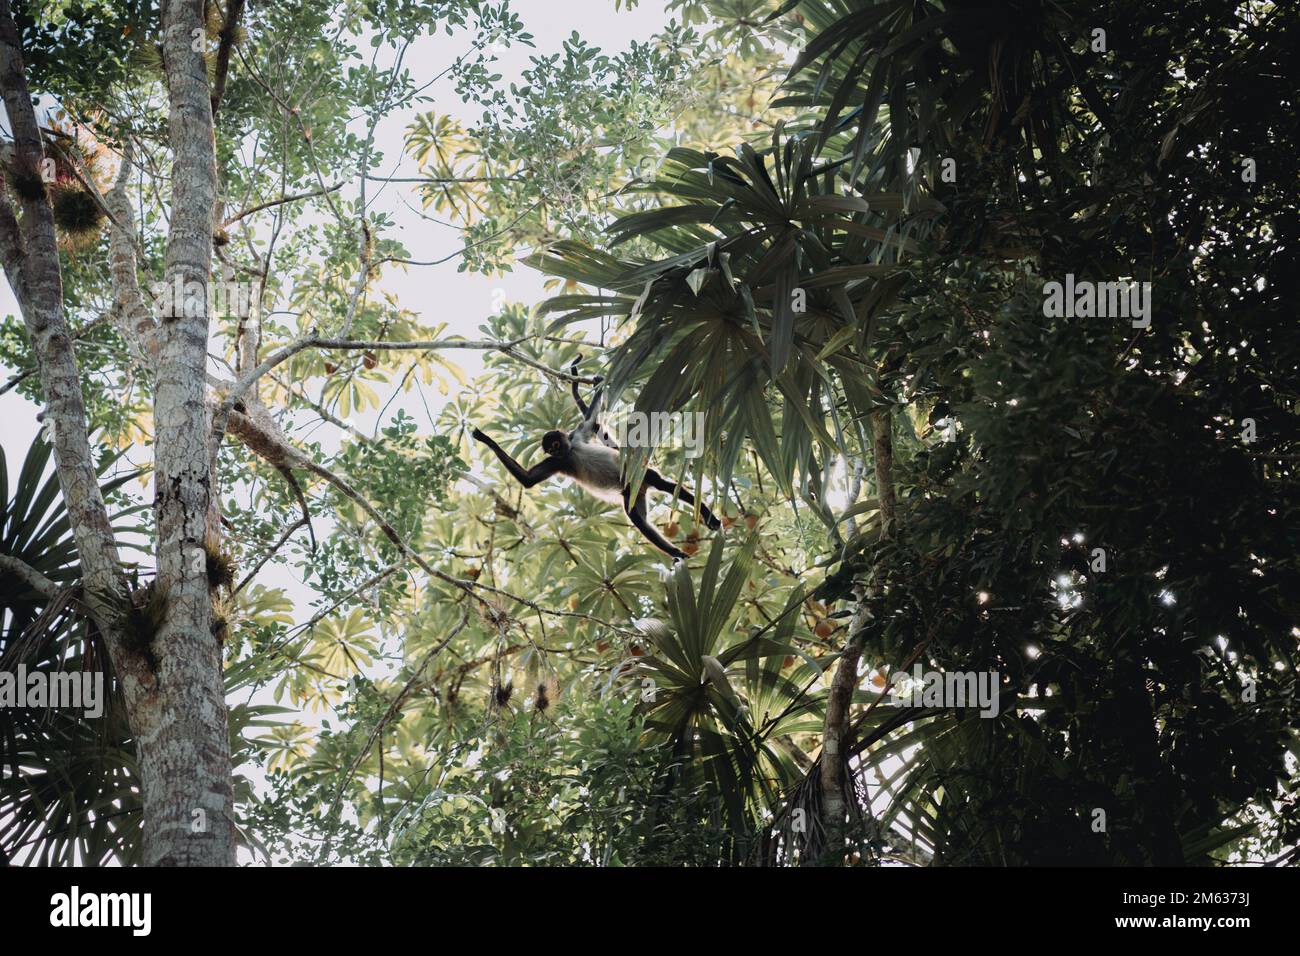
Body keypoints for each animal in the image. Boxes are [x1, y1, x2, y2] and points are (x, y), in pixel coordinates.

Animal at [471, 358, 720, 560]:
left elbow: (591, 419)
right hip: (632, 492)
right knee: (638, 518)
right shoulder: (558, 463)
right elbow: (528, 480)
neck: (571, 451)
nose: (555, 451)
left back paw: (708, 518)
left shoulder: (577, 434)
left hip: (640, 475)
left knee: (663, 485)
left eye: (555, 444)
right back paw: (676, 551)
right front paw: (486, 439)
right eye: (550, 450)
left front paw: (599, 382)